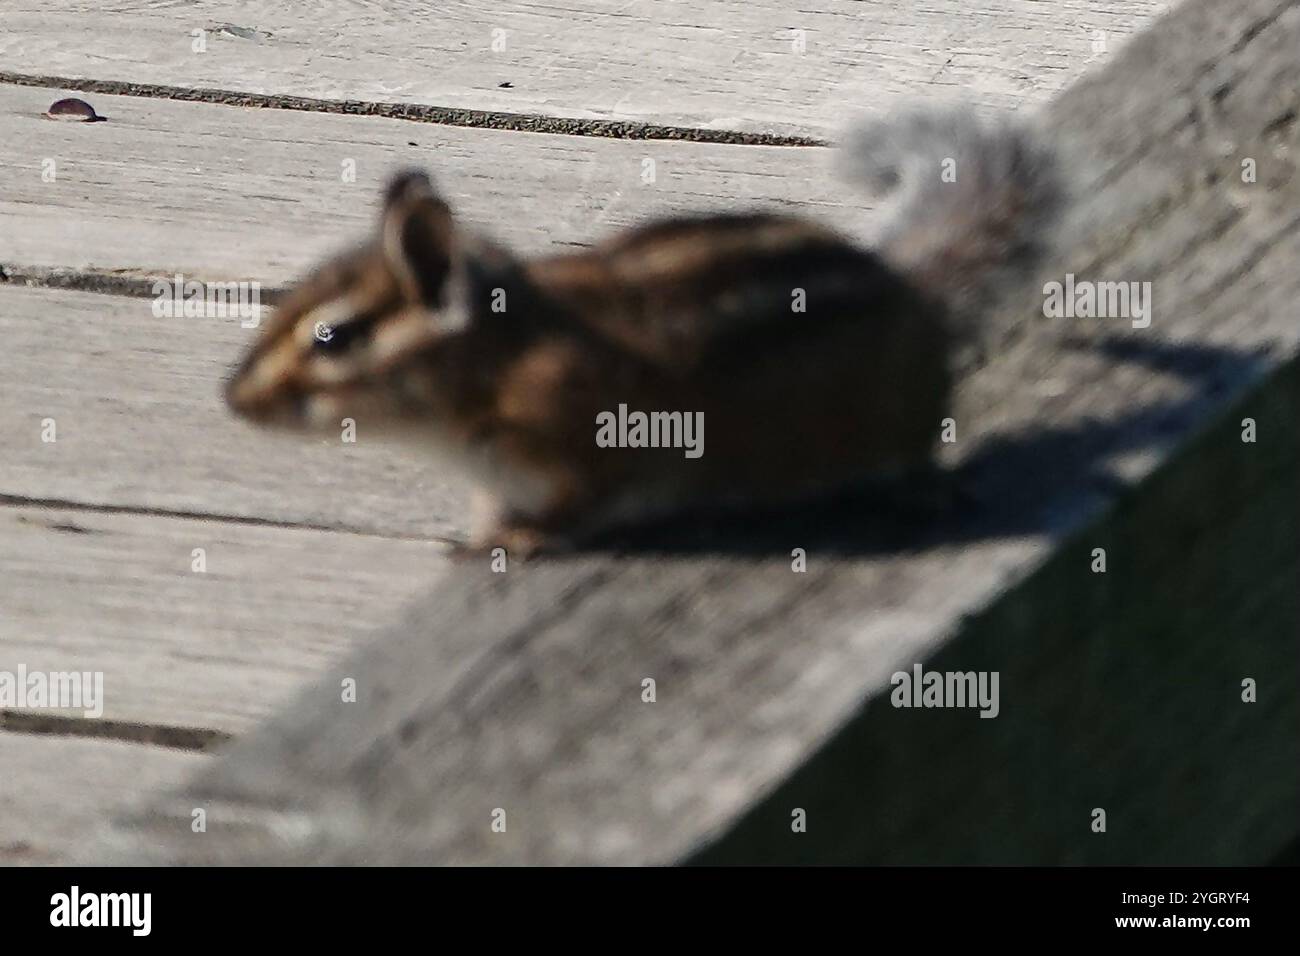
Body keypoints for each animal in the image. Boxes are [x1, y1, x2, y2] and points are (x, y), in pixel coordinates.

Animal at [225, 109, 1063, 557]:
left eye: (331, 339)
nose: (232, 399)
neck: (500, 359)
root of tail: (914, 294)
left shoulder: (594, 444)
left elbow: (579, 506)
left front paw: (519, 539)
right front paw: (481, 530)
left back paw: (926, 490)